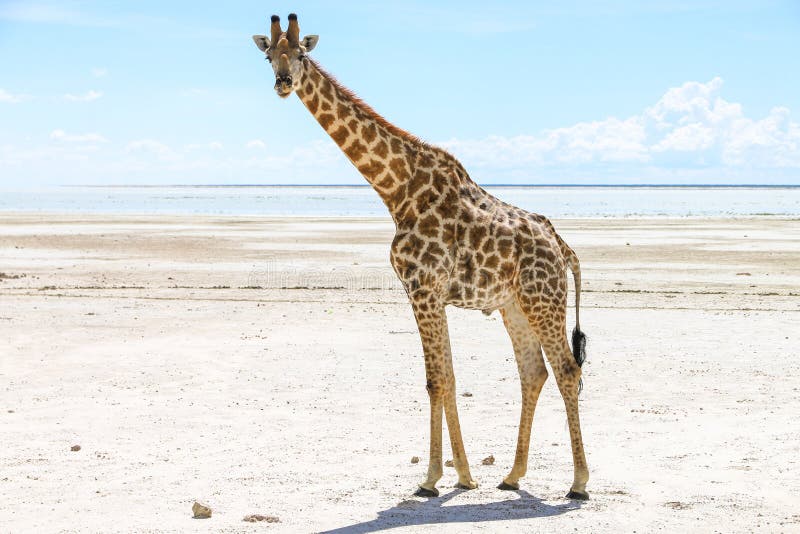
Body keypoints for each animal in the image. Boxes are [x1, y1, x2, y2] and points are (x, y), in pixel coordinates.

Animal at [253, 14, 590, 500]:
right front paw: (463, 476)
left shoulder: (424, 289)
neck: (396, 189)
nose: (282, 82)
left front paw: (431, 478)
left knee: (566, 369)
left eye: (300, 55)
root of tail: (562, 245)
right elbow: (446, 377)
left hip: (544, 298)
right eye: (269, 57)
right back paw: (512, 475)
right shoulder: (428, 293)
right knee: (534, 372)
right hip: (514, 304)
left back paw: (579, 482)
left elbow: (435, 380)